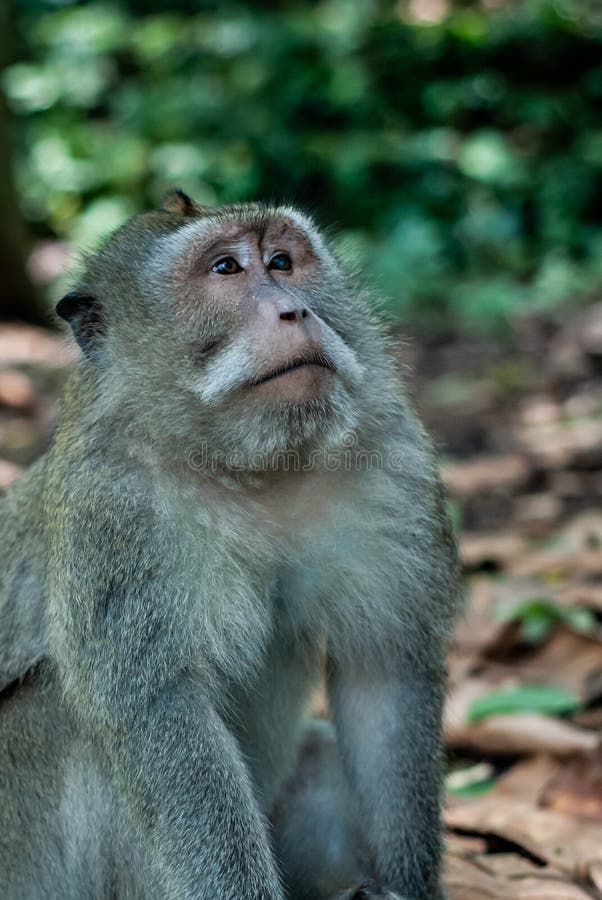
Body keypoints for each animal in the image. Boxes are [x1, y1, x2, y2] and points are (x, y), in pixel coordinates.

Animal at [0, 189, 461, 900]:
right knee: (66, 717)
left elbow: (385, 672)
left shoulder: (390, 456)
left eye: (281, 261)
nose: (294, 309)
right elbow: (159, 714)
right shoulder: (115, 510)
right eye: (224, 269)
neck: (245, 466)